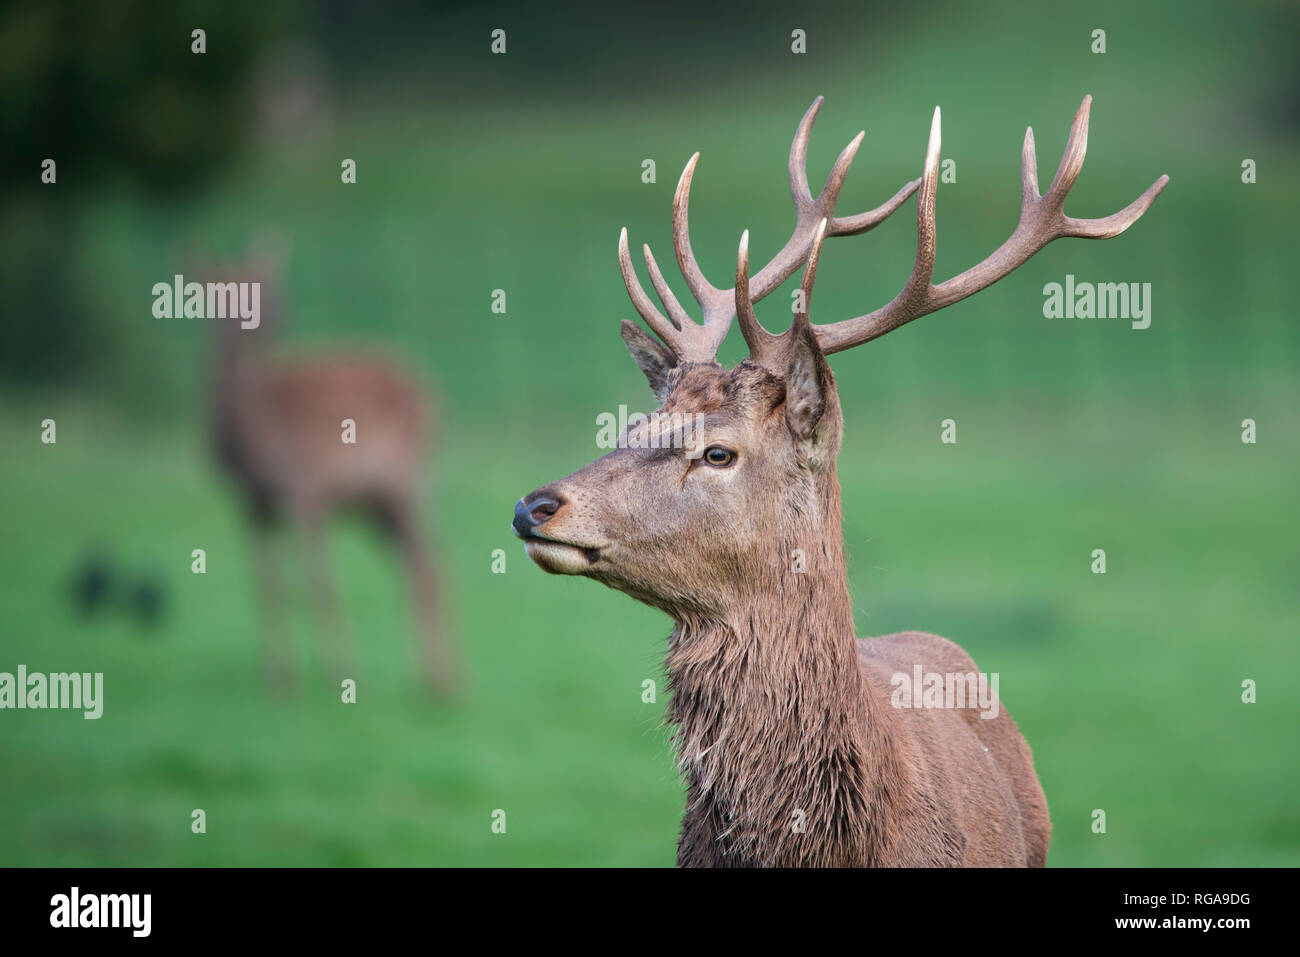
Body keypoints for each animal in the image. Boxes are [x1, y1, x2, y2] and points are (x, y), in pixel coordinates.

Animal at [207, 240, 457, 695]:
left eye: (268, 289)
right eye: (215, 295)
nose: (271, 322)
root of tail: (431, 392)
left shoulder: (306, 490)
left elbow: (318, 584)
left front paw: (338, 674)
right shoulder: (250, 504)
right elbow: (268, 587)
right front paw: (280, 679)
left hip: (407, 486)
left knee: (429, 562)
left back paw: (442, 683)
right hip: (379, 505)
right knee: (424, 561)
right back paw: (436, 679)